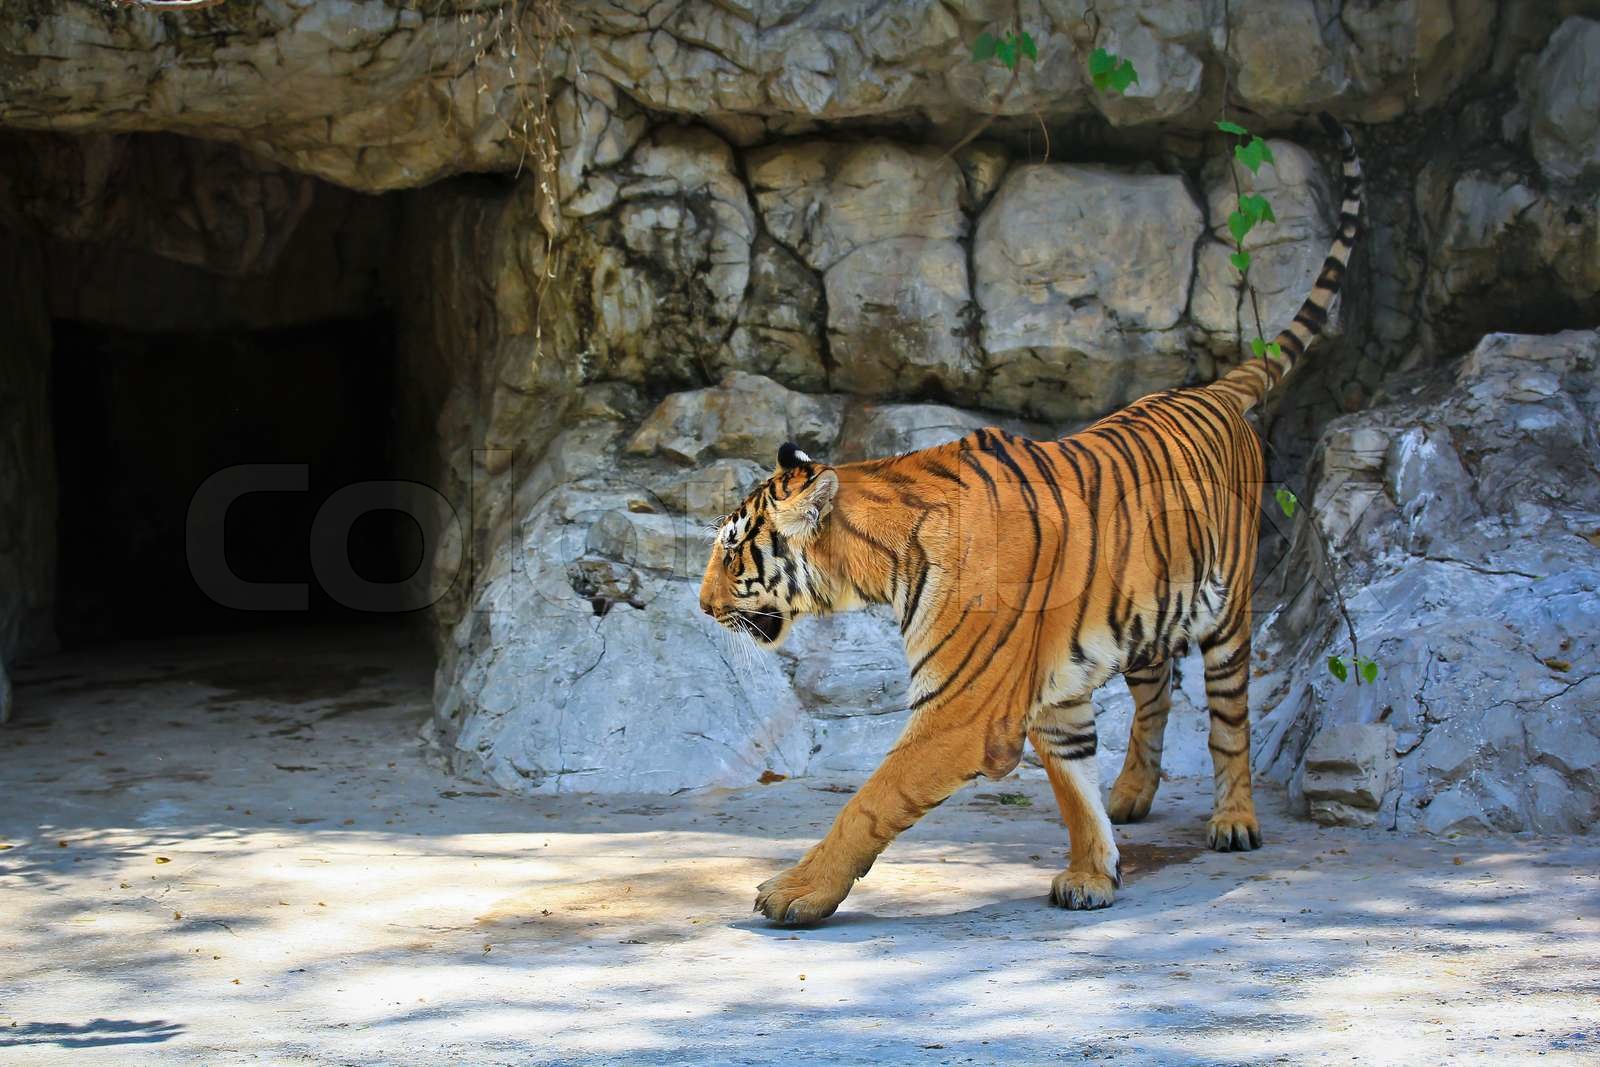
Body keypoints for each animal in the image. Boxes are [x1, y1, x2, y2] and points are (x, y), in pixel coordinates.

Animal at [698, 114, 1362, 925]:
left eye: (734, 553)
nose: (701, 607)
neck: (883, 564)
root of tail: (1212, 387)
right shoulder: (1052, 694)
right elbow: (1073, 784)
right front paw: (1094, 869)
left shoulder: (962, 710)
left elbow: (869, 801)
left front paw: (795, 891)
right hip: (1147, 619)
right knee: (1156, 696)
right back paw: (1133, 794)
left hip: (1227, 613)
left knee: (1230, 719)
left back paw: (1235, 820)